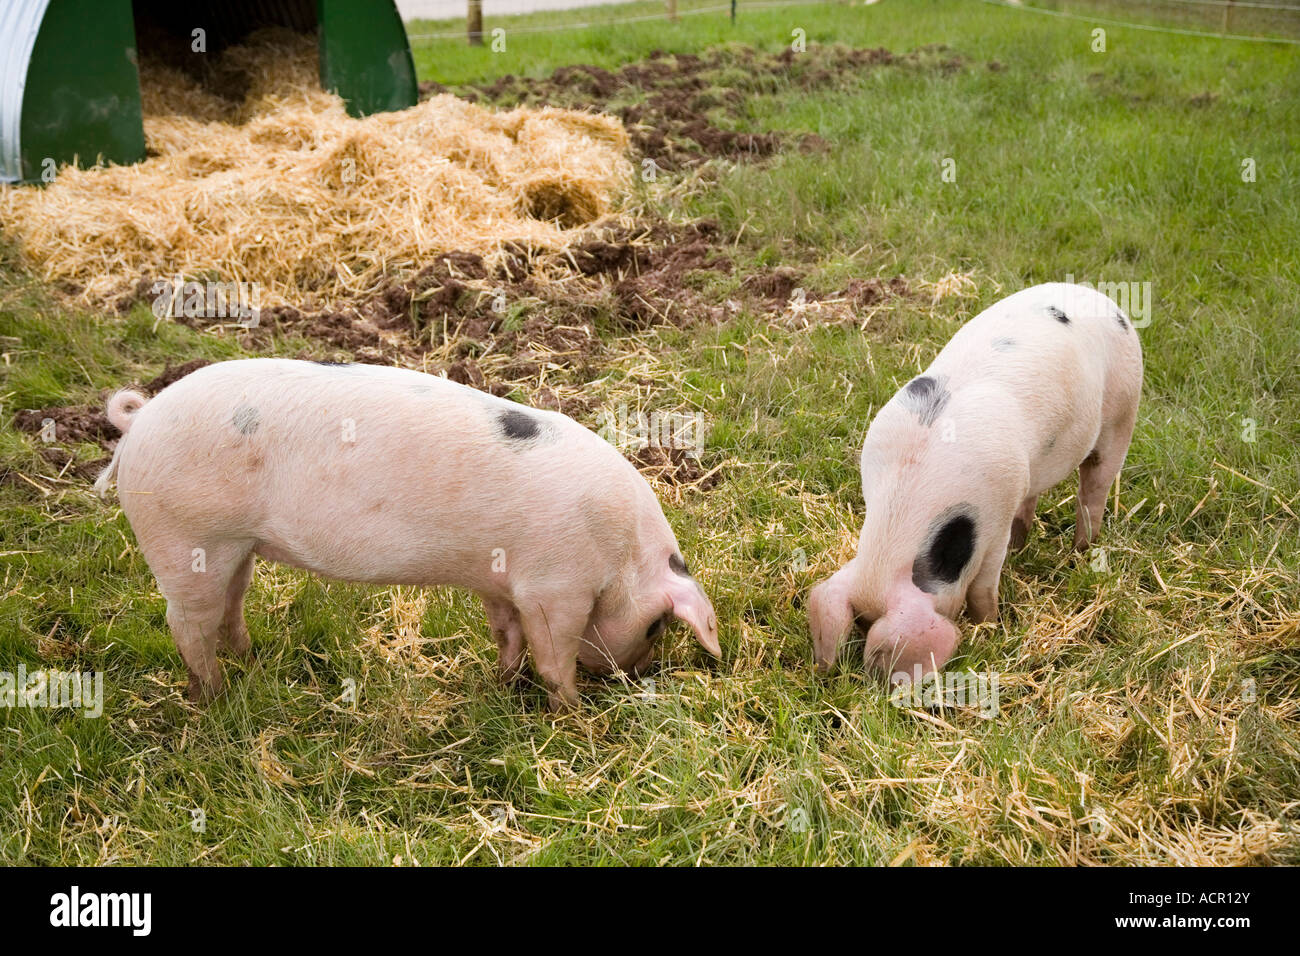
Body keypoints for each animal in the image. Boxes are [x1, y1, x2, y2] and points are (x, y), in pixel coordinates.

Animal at [94, 358, 719, 710]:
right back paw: (215, 699)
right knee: (186, 624)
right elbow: (552, 655)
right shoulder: (556, 587)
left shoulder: (501, 582)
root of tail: (139, 420)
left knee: (231, 602)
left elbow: (507, 634)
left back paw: (254, 662)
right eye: (657, 624)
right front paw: (572, 715)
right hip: (185, 536)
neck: (622, 556)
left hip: (234, 545)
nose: (637, 674)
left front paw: (500, 683)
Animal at [808, 283, 1142, 684]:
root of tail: (1101, 298)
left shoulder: (992, 521)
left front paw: (991, 627)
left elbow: (984, 586)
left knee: (1095, 488)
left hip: (1123, 410)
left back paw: (1081, 552)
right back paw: (1024, 545)